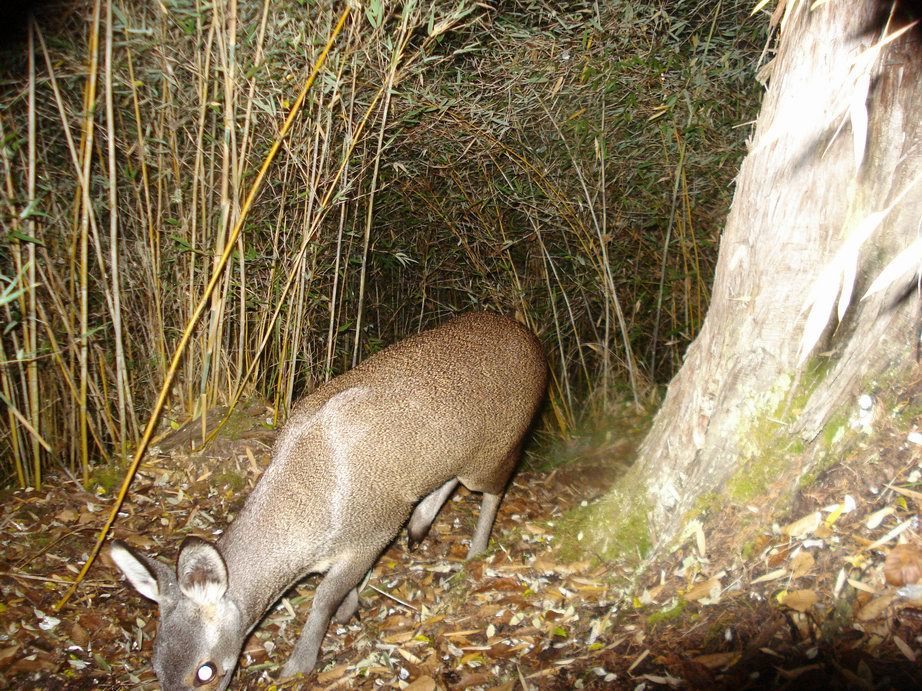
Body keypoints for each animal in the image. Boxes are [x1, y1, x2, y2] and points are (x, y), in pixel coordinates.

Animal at [110, 311, 547, 690]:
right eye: (155, 666)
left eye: (206, 670)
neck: (311, 520)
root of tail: (535, 344)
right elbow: (340, 589)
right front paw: (350, 609)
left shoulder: (376, 529)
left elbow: (323, 599)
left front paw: (298, 664)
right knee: (449, 478)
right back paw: (420, 528)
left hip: (497, 446)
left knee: (495, 487)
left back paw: (475, 552)